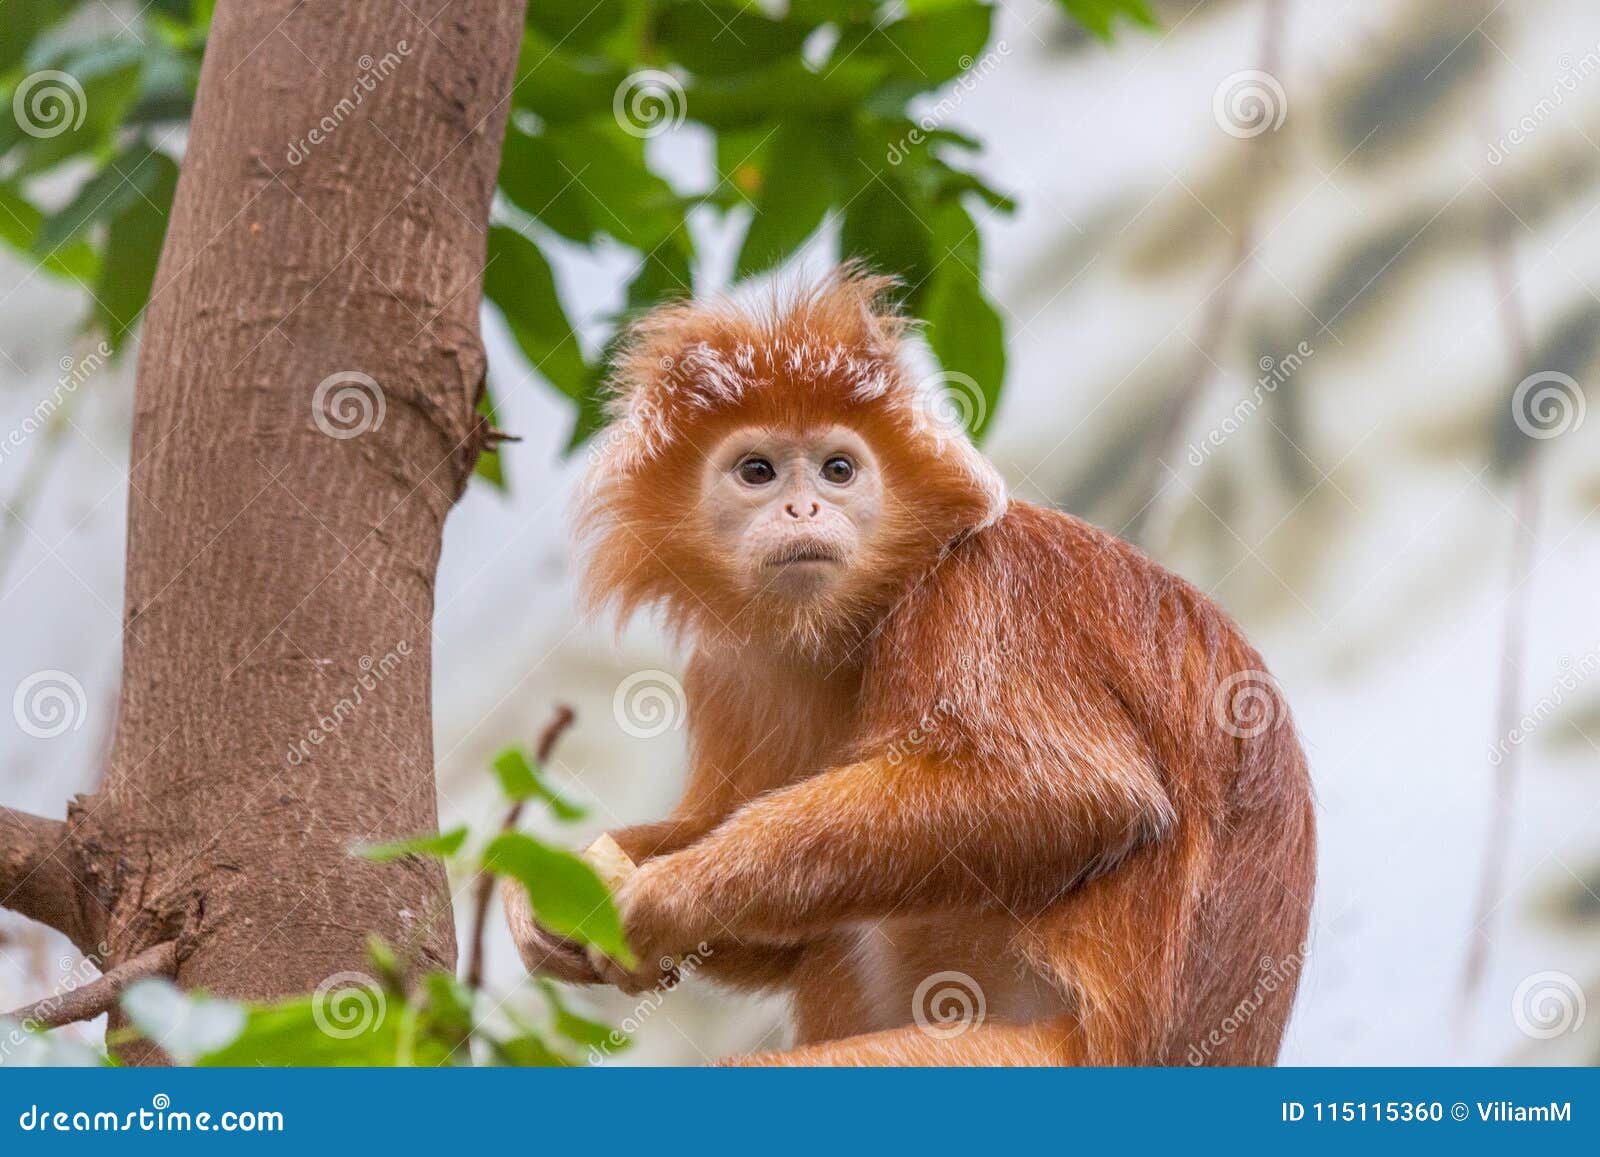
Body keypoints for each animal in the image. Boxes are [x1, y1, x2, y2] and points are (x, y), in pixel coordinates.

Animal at [505, 266, 1316, 1066]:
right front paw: (548, 888)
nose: (803, 509)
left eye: (837, 469)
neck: (857, 623)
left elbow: (1077, 792)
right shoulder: (728, 674)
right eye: (758, 471)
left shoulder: (975, 588)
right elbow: (769, 932)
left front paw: (665, 896)